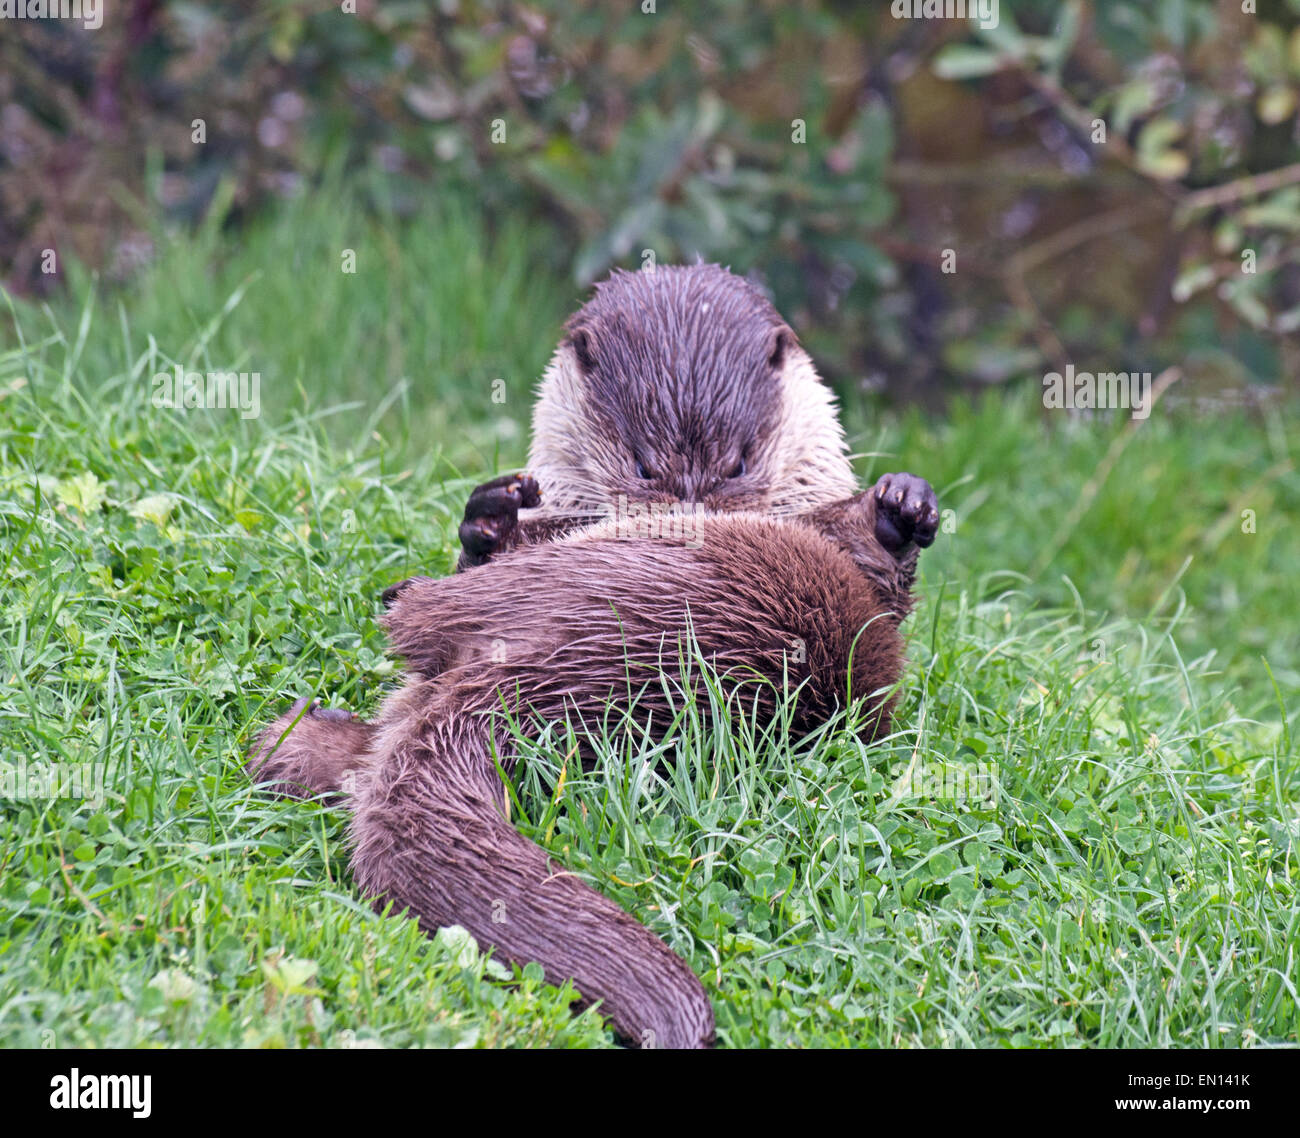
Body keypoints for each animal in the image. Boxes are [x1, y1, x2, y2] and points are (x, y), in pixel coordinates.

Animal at [249, 264, 938, 1049]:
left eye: (737, 463)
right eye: (641, 463)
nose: (686, 513)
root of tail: (551, 688)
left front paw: (903, 505)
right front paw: (491, 511)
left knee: (414, 631)